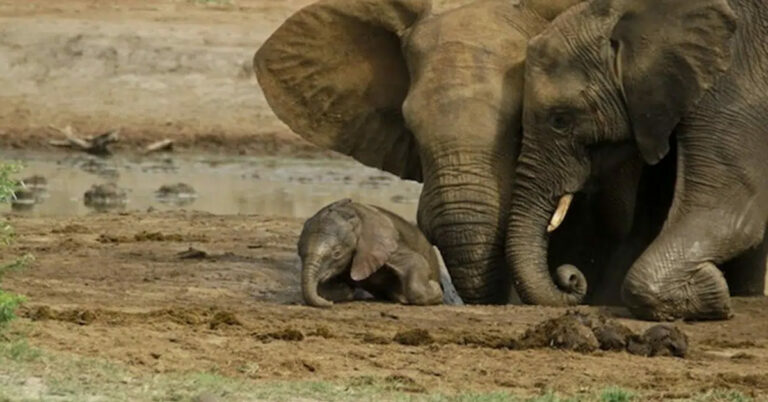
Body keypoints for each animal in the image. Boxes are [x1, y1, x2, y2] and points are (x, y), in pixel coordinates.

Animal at [297, 198, 463, 307]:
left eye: (337, 253)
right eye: (300, 253)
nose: (329, 303)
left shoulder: (386, 245)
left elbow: (416, 261)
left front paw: (435, 289)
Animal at [505, 0, 768, 320]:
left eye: (560, 120)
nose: (571, 277)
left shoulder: (736, 83)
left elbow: (727, 213)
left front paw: (711, 293)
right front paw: (711, 287)